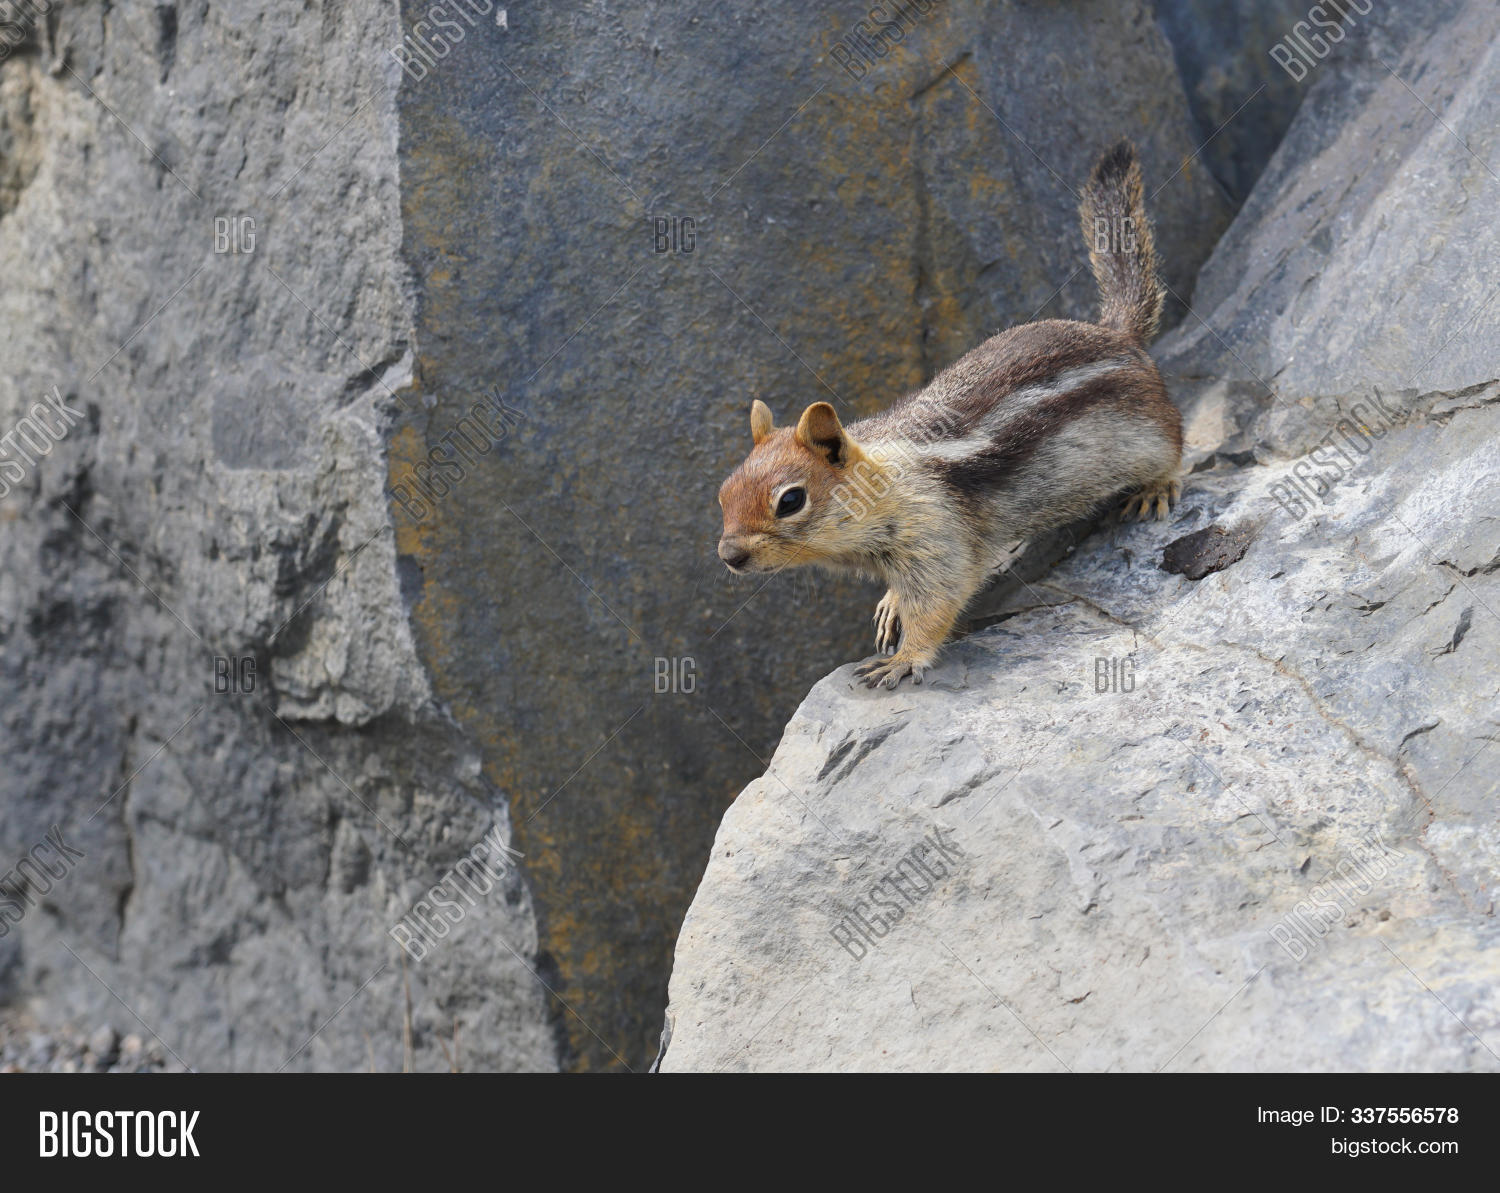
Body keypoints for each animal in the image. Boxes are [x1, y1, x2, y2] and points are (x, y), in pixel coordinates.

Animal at [716, 140, 1182, 690]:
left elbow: (938, 600)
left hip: (1150, 432)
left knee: (1175, 450)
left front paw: (902, 659)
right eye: (723, 493)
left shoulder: (935, 532)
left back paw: (1156, 489)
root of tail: (1117, 335)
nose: (729, 556)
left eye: (790, 501)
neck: (884, 479)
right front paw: (890, 606)